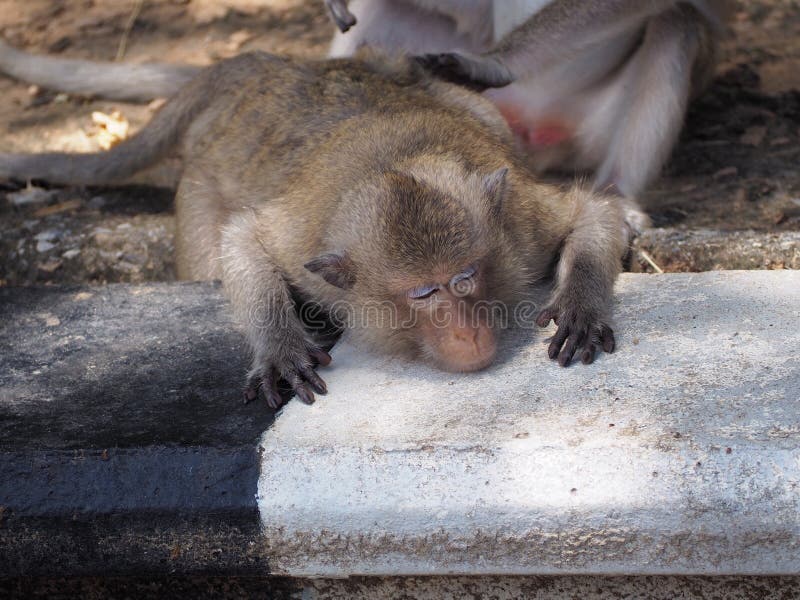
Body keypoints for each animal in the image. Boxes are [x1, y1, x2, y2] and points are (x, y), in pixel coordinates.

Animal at [0, 50, 625, 408]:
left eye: (465, 278)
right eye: (423, 293)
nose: (466, 334)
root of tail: (262, 67)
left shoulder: (521, 222)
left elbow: (594, 211)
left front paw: (580, 306)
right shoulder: (302, 241)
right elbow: (245, 239)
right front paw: (279, 347)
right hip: (201, 179)